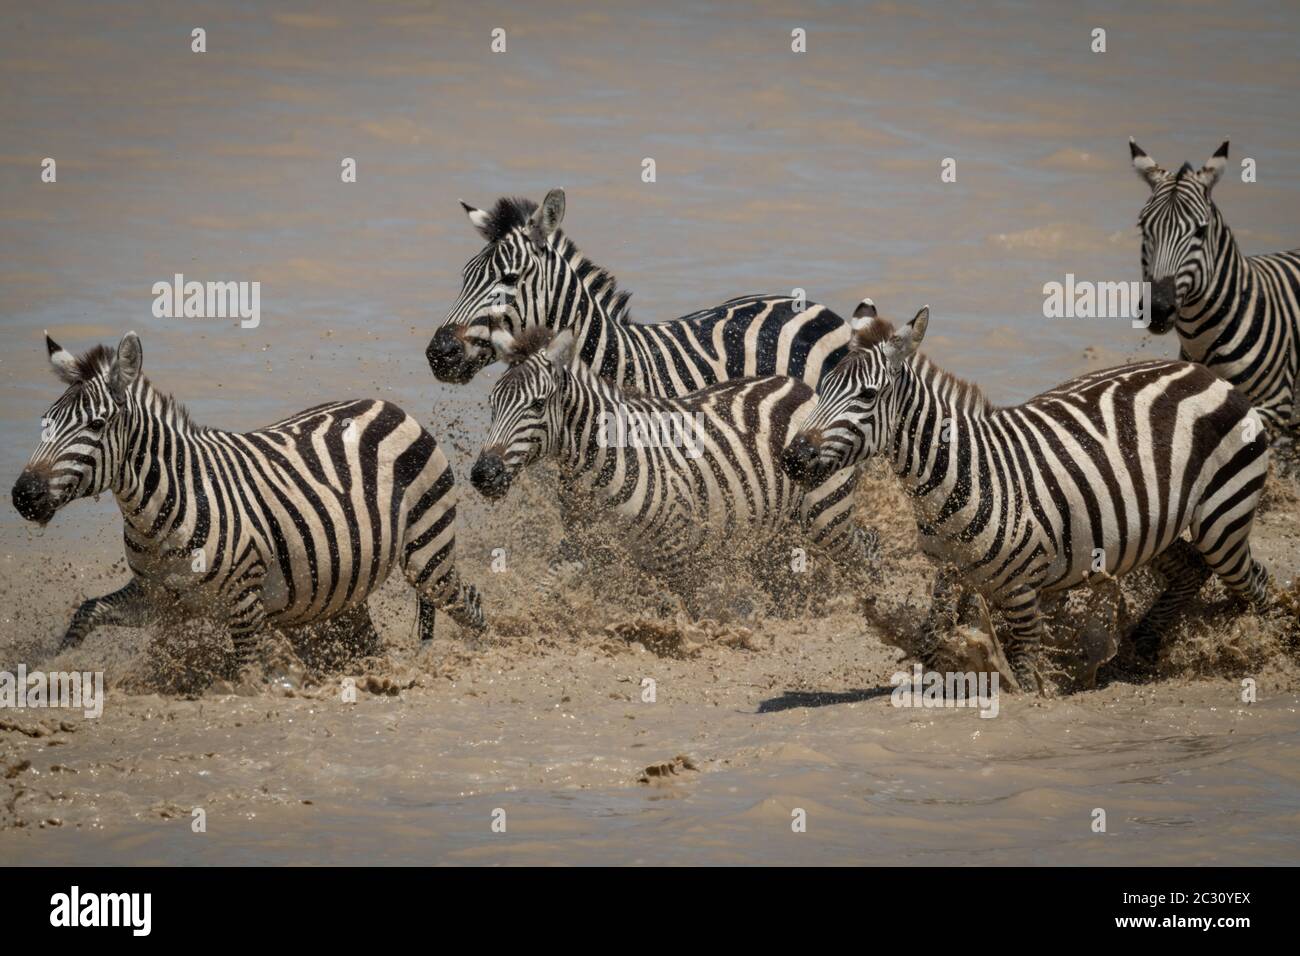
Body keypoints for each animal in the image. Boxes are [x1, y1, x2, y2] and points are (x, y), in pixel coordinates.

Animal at [12, 331, 484, 676]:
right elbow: (86, 612)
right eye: (45, 422)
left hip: (427, 553)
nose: (22, 495)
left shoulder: (245, 604)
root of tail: (389, 405)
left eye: (95, 424)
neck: (163, 508)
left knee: (469, 602)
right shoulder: (157, 599)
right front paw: (57, 669)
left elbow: (245, 676)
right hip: (343, 586)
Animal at [467, 326, 875, 612]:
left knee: (865, 553)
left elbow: (689, 610)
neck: (599, 461)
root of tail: (799, 385)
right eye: (493, 403)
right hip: (775, 527)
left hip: (825, 513)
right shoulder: (582, 543)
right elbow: (544, 587)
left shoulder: (676, 549)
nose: (483, 474)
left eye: (537, 404)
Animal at [782, 302, 1272, 692]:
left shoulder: (1022, 590)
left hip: (1222, 519)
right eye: (821, 389)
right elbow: (932, 640)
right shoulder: (951, 572)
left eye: (867, 395)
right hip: (1146, 529)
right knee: (1191, 570)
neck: (962, 477)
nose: (792, 458)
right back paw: (1142, 647)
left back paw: (1263, 647)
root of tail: (1204, 373)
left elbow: (1020, 669)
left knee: (1255, 581)